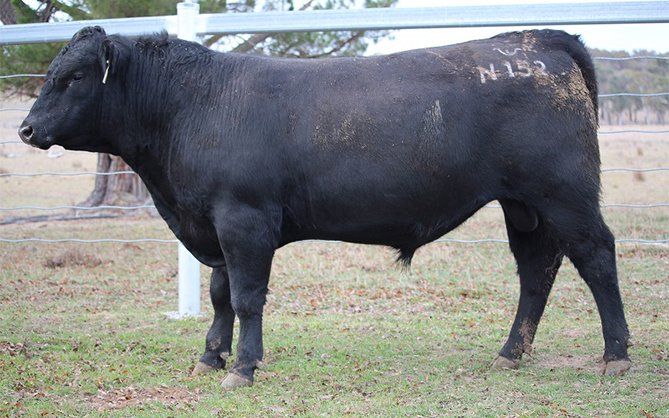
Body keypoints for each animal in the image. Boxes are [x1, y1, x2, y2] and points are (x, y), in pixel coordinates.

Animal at [19, 26, 632, 390]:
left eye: (74, 77)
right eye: (52, 73)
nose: (25, 128)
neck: (192, 103)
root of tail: (536, 39)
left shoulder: (244, 219)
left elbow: (246, 297)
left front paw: (243, 367)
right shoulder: (214, 226)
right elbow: (219, 294)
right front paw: (210, 357)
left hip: (565, 194)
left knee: (597, 258)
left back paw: (616, 355)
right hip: (523, 205)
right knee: (536, 270)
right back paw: (510, 353)